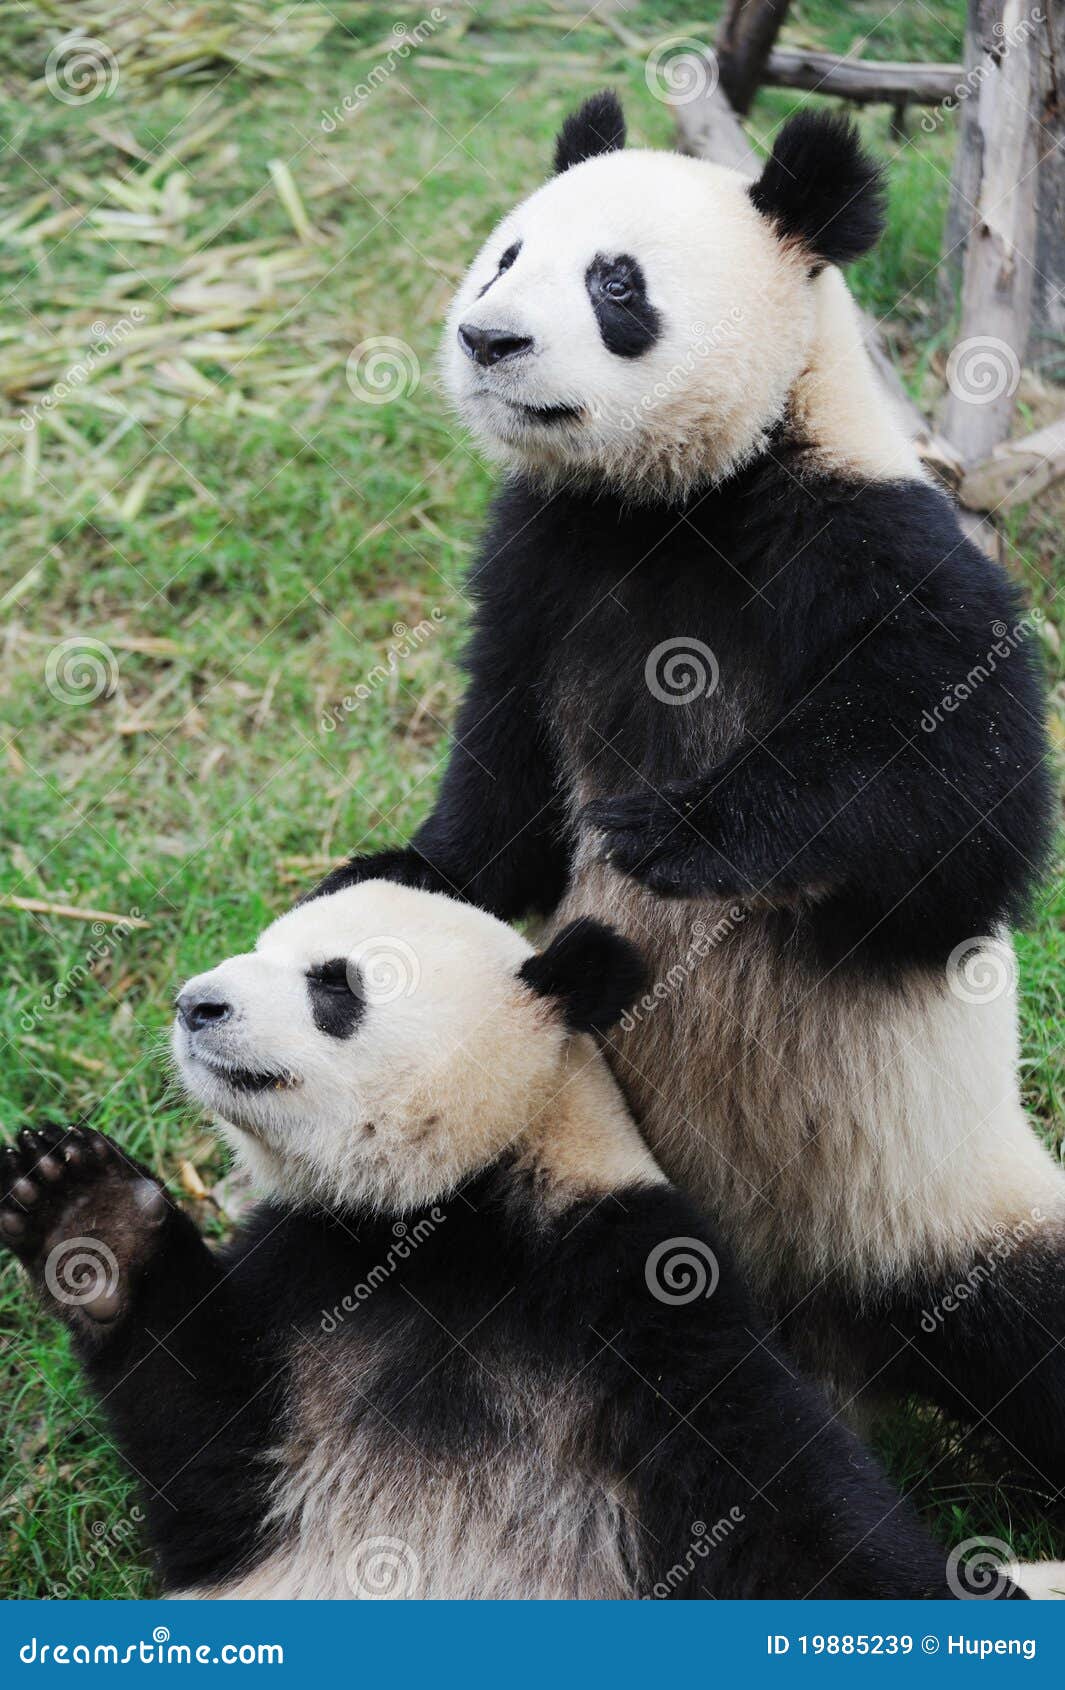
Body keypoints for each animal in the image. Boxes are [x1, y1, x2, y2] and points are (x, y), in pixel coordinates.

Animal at [0, 882, 1037, 1599]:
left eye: (334, 985)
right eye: (260, 949)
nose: (197, 1004)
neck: (448, 1222)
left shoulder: (625, 1282)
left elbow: (783, 1508)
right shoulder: (306, 1272)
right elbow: (210, 1464)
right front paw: (86, 1214)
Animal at [313, 95, 1065, 1493]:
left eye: (617, 285)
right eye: (506, 255)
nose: (487, 338)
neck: (671, 505)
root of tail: (840, 1340)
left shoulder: (868, 543)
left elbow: (962, 814)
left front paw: (675, 831)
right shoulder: (547, 562)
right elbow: (505, 773)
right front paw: (399, 871)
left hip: (946, 1204)